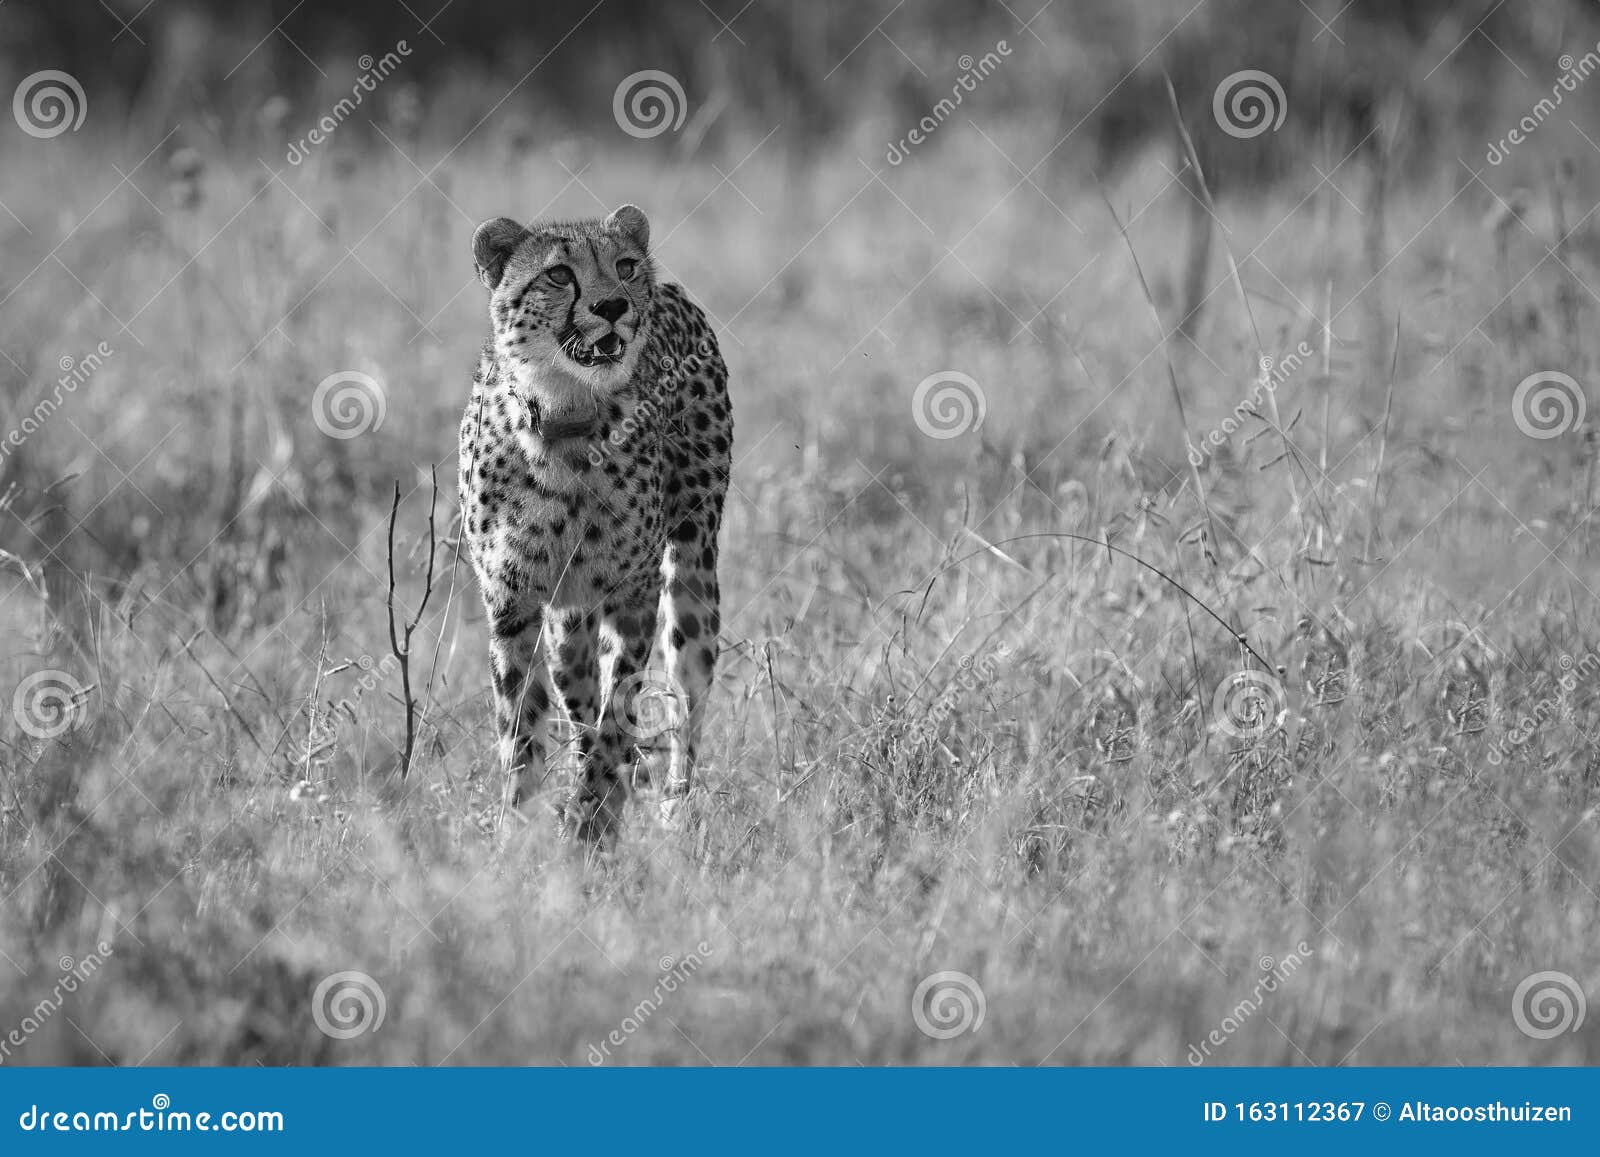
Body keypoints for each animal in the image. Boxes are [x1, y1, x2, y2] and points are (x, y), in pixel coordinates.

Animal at [460, 204, 732, 844]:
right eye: (559, 275)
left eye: (624, 266)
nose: (613, 305)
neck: (567, 414)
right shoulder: (513, 603)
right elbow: (522, 726)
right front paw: (519, 828)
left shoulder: (634, 595)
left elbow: (620, 709)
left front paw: (595, 817)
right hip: (568, 621)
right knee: (577, 696)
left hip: (692, 575)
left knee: (684, 705)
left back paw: (671, 814)